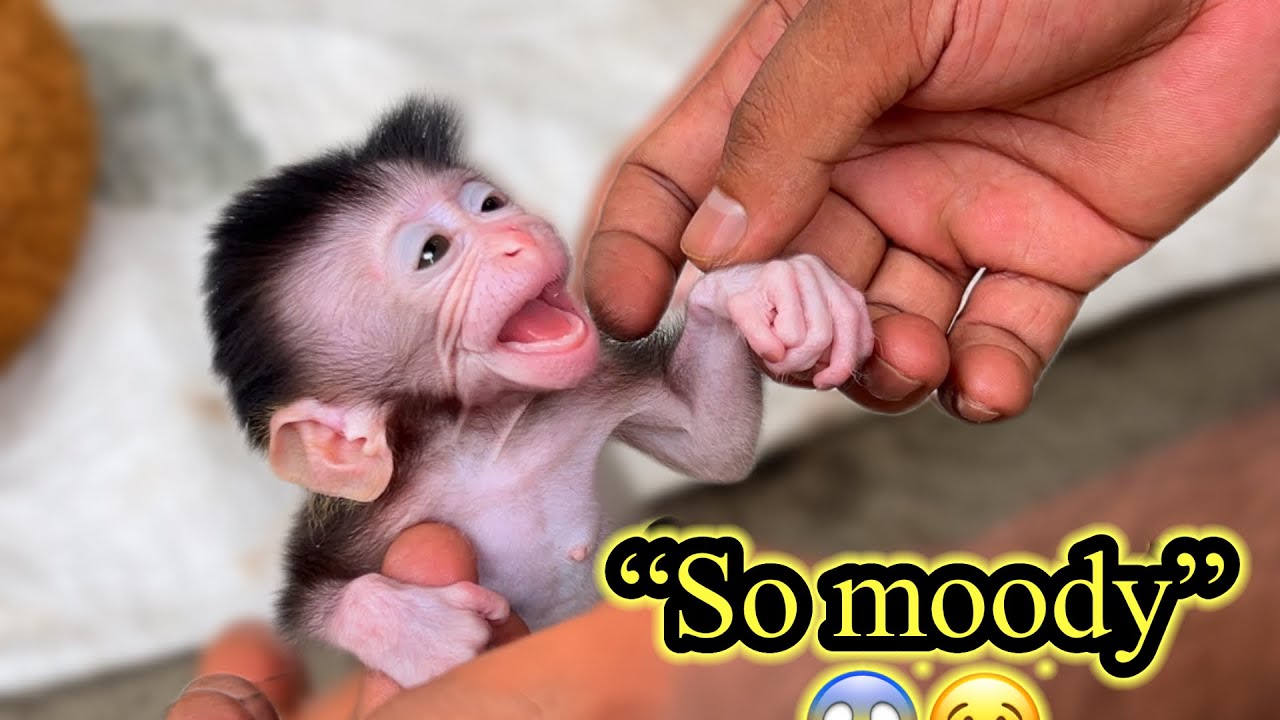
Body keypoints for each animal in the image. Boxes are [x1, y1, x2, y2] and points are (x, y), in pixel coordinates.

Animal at [202, 96, 875, 688]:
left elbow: (712, 446)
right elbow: (301, 604)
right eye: (432, 252)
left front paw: (757, 289)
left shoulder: (591, 386)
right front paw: (407, 628)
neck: (490, 439)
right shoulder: (369, 509)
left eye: (489, 204)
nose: (519, 231)